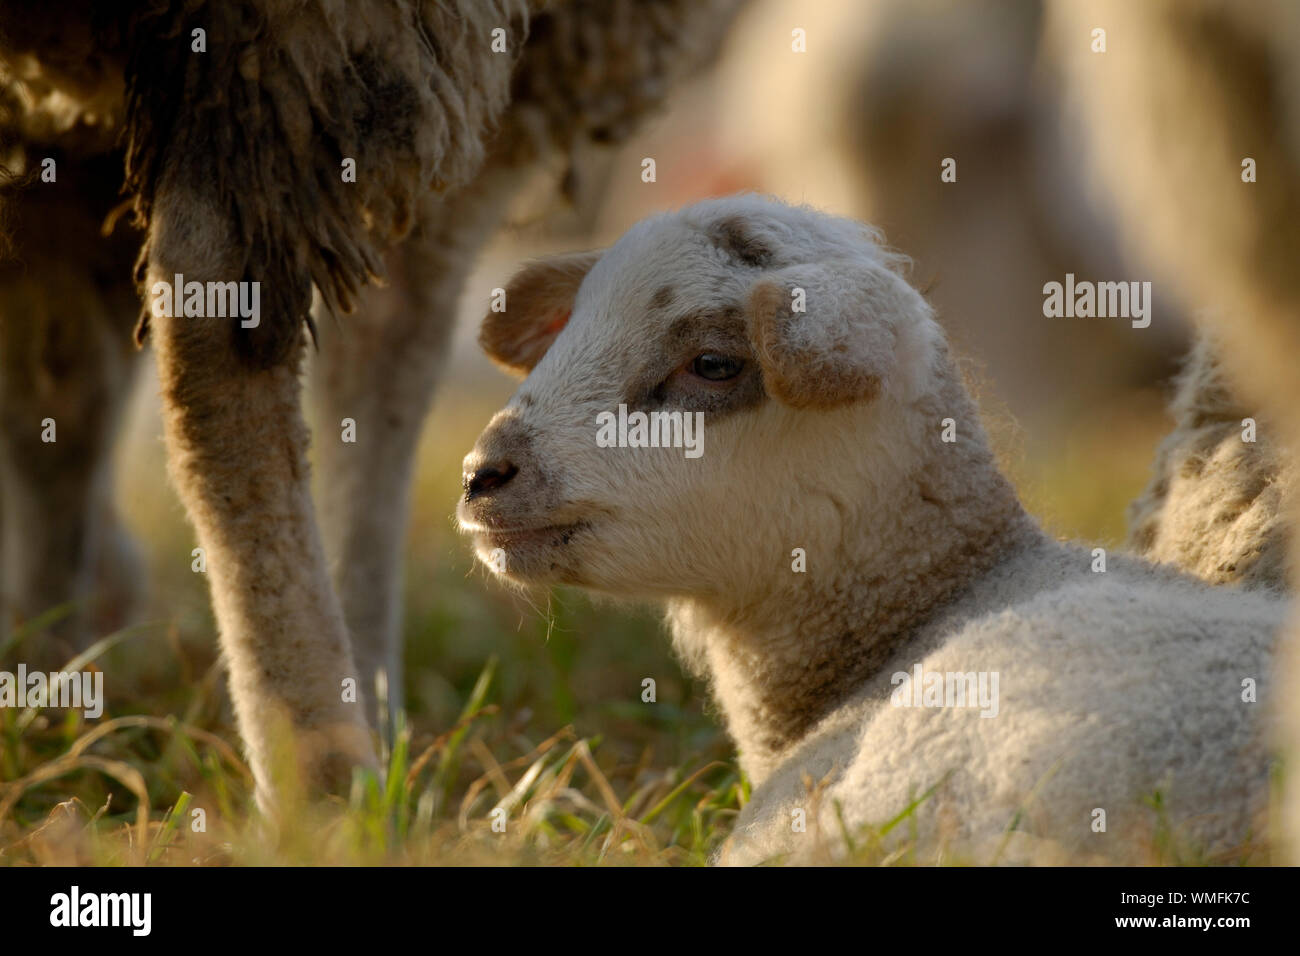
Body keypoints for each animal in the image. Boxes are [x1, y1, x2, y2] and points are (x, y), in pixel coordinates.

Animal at [0, 0, 743, 809]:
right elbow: (396, 344)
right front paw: (361, 709)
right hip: (302, 34)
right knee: (220, 330)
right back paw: (317, 763)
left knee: (72, 353)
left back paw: (56, 670)